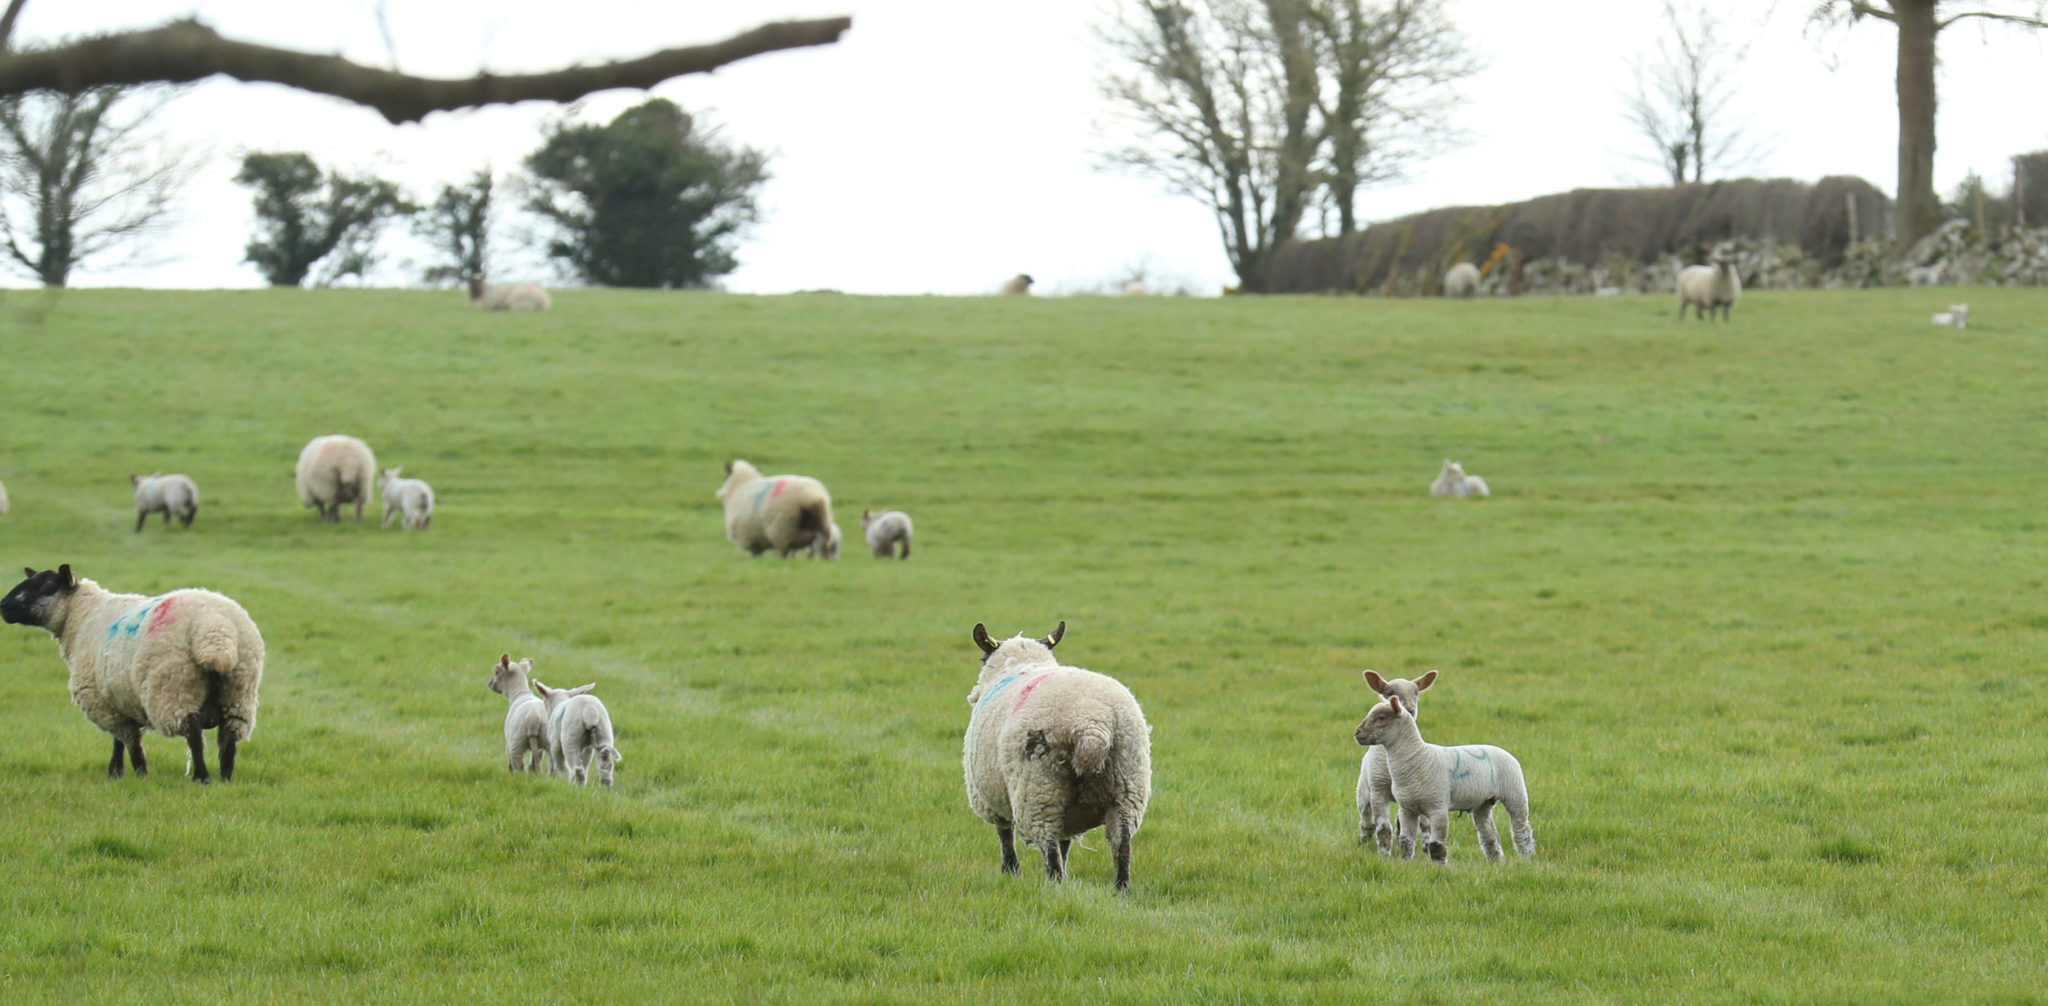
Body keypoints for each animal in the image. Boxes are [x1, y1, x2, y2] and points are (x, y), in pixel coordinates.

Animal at [1, 564, 263, 783]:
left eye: (47, 585)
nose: (3, 606)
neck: (81, 616)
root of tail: (215, 630)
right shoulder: (119, 699)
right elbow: (124, 740)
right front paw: (124, 773)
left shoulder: (103, 701)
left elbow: (126, 741)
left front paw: (131, 774)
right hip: (239, 691)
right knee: (229, 738)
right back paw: (225, 778)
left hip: (174, 687)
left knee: (194, 734)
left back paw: (202, 777)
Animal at [964, 621, 1152, 889]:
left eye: (982, 658)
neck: (1022, 663)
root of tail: (1092, 722)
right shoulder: (1071, 813)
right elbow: (1066, 843)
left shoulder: (989, 798)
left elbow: (1005, 836)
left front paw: (1010, 871)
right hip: (1128, 787)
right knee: (1122, 845)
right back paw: (1121, 889)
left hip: (1039, 790)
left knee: (1050, 853)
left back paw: (1055, 887)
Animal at [1352, 695, 1534, 864]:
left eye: (1381, 717)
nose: (1357, 733)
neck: (1418, 758)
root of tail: (1504, 751)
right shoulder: (1406, 808)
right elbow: (1406, 841)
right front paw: (1406, 863)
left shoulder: (1437, 807)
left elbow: (1436, 845)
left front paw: (1439, 867)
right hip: (1483, 803)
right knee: (1489, 835)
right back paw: (1495, 862)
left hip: (1515, 793)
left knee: (1522, 829)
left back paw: (1527, 858)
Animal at [1356, 669, 1437, 855]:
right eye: (1389, 692)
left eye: (1416, 693)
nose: (1410, 709)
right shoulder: (1378, 790)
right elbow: (1384, 828)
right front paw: (1384, 854)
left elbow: (1424, 824)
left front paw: (1425, 849)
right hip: (1363, 791)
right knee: (1366, 818)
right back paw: (1364, 839)